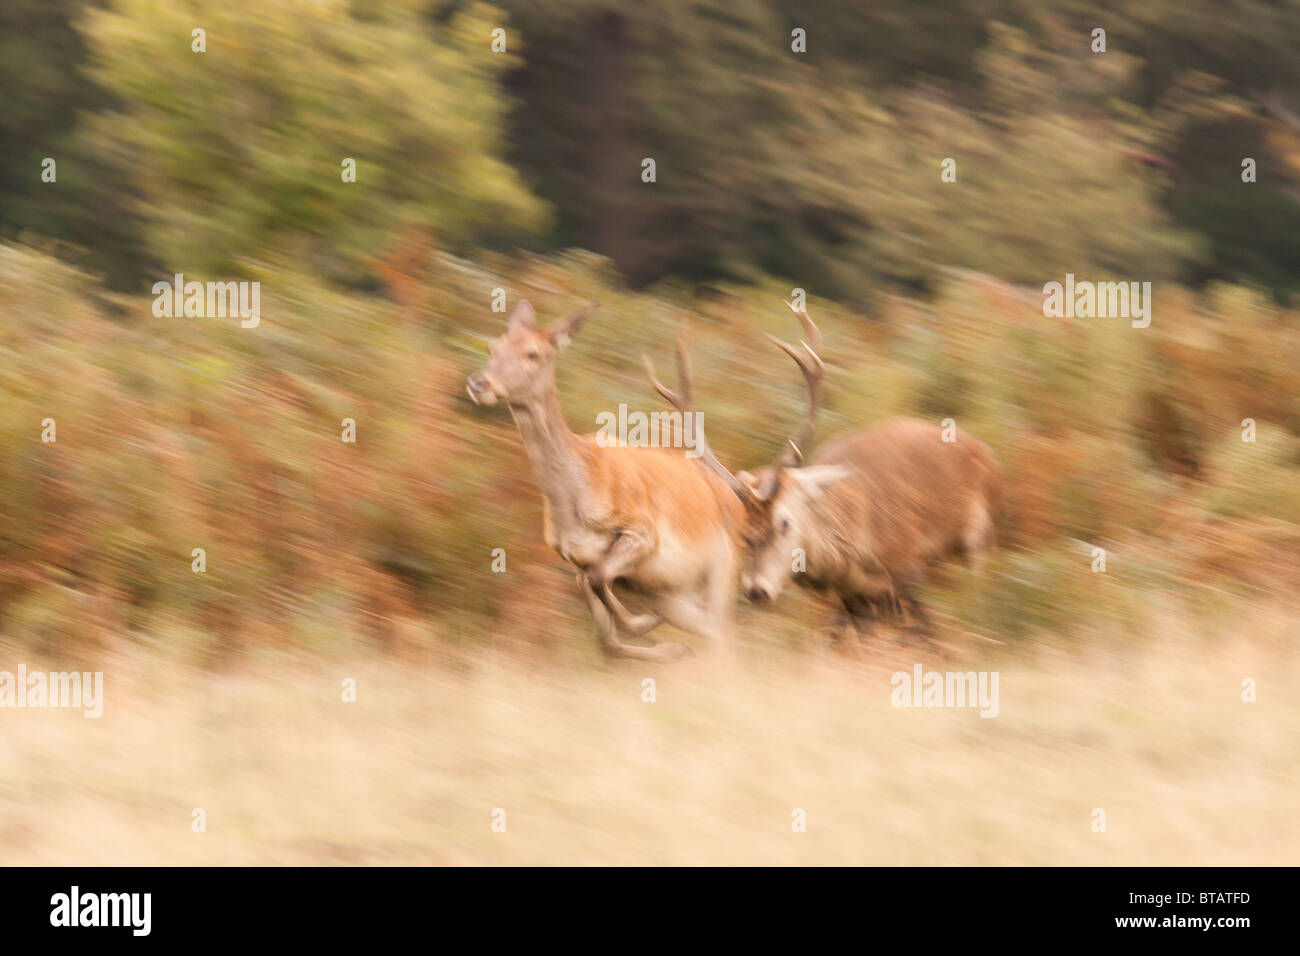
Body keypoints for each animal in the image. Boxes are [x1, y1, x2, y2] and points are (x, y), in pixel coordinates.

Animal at [466, 300, 745, 662]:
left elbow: (601, 582)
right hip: (671, 590)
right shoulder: (575, 559)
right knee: (713, 631)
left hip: (724, 562)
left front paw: (643, 626)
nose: (478, 384)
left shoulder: (643, 530)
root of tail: (740, 504)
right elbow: (604, 634)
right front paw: (669, 646)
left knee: (724, 631)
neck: (574, 505)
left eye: (532, 354)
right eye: (493, 347)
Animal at [650, 302, 1003, 647]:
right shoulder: (853, 598)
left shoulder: (909, 567)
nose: (756, 591)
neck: (858, 548)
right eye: (742, 531)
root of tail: (988, 455)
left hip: (978, 538)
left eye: (785, 522)